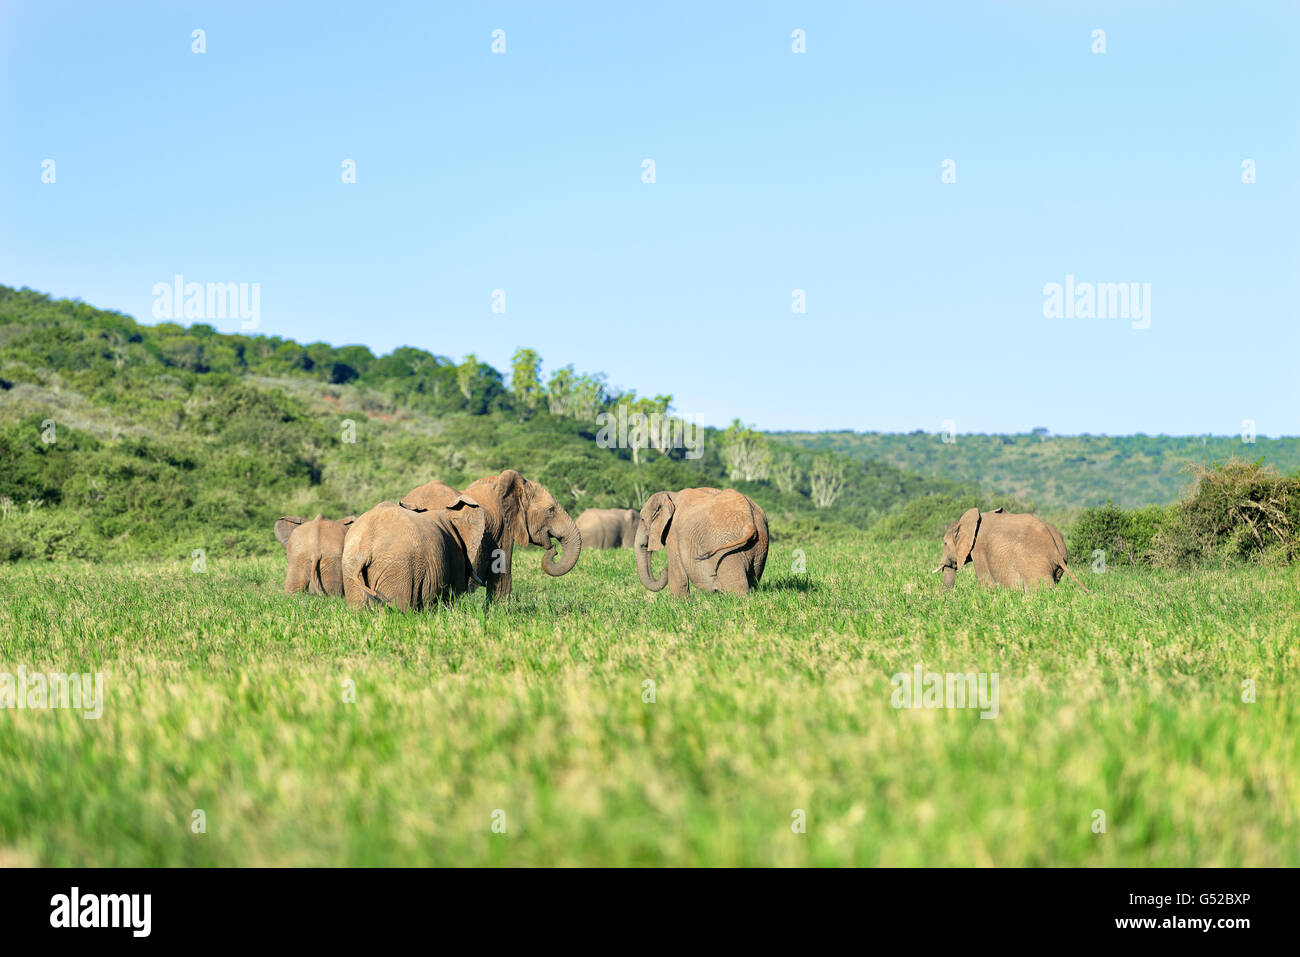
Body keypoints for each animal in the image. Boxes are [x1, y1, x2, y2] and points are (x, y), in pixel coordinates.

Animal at [635, 488, 769, 596]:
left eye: (642, 519)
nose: (662, 571)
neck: (671, 495)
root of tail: (749, 520)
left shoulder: (672, 532)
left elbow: (677, 571)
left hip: (726, 548)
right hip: (760, 544)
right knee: (754, 578)